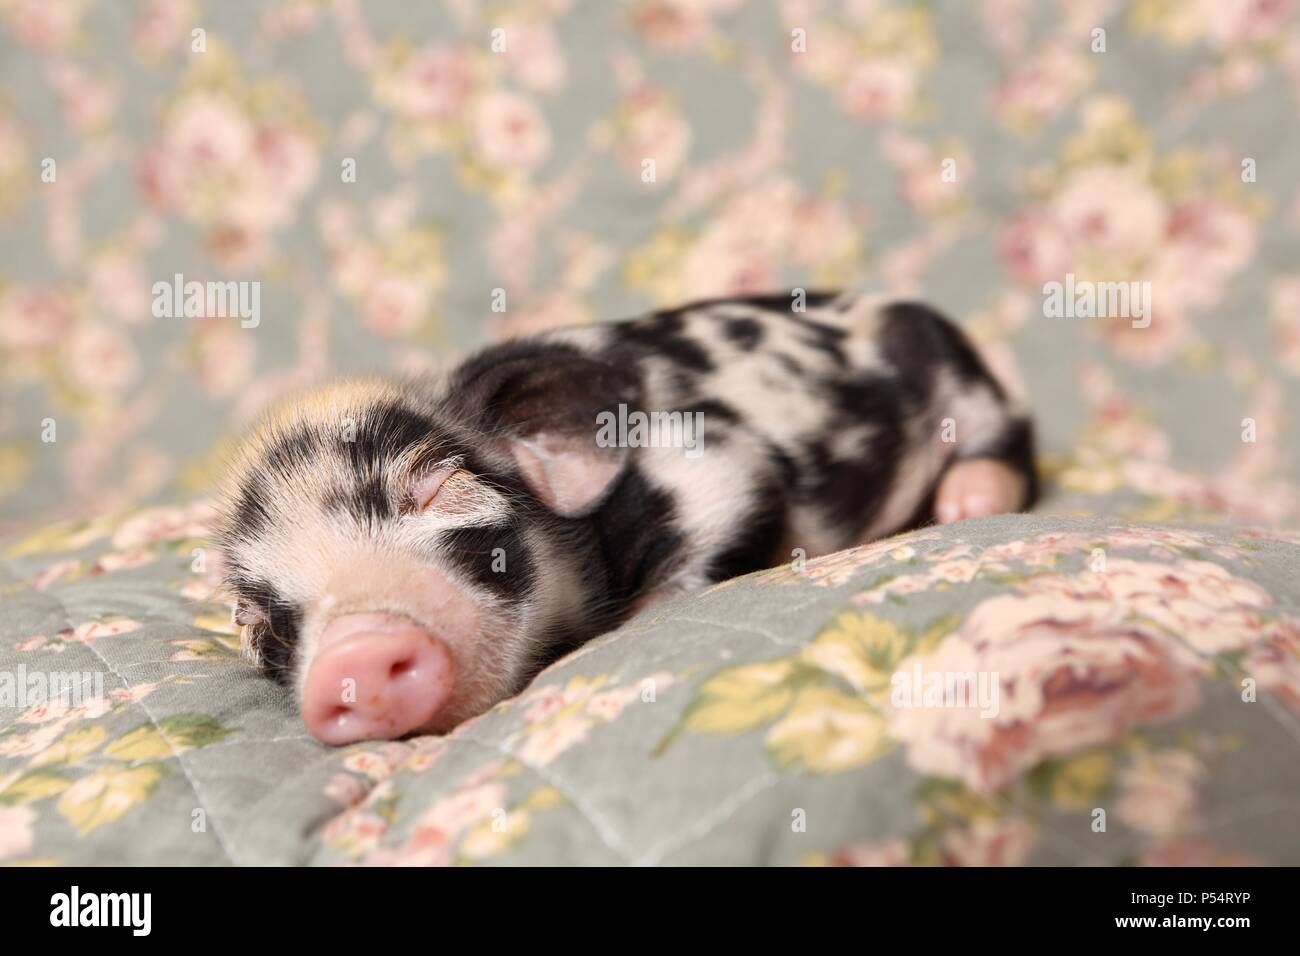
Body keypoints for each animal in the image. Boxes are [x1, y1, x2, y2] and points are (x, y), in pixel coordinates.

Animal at [215, 292, 1036, 745]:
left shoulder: (720, 465)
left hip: (959, 371)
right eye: (260, 621)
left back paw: (969, 502)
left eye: (439, 486)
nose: (349, 659)